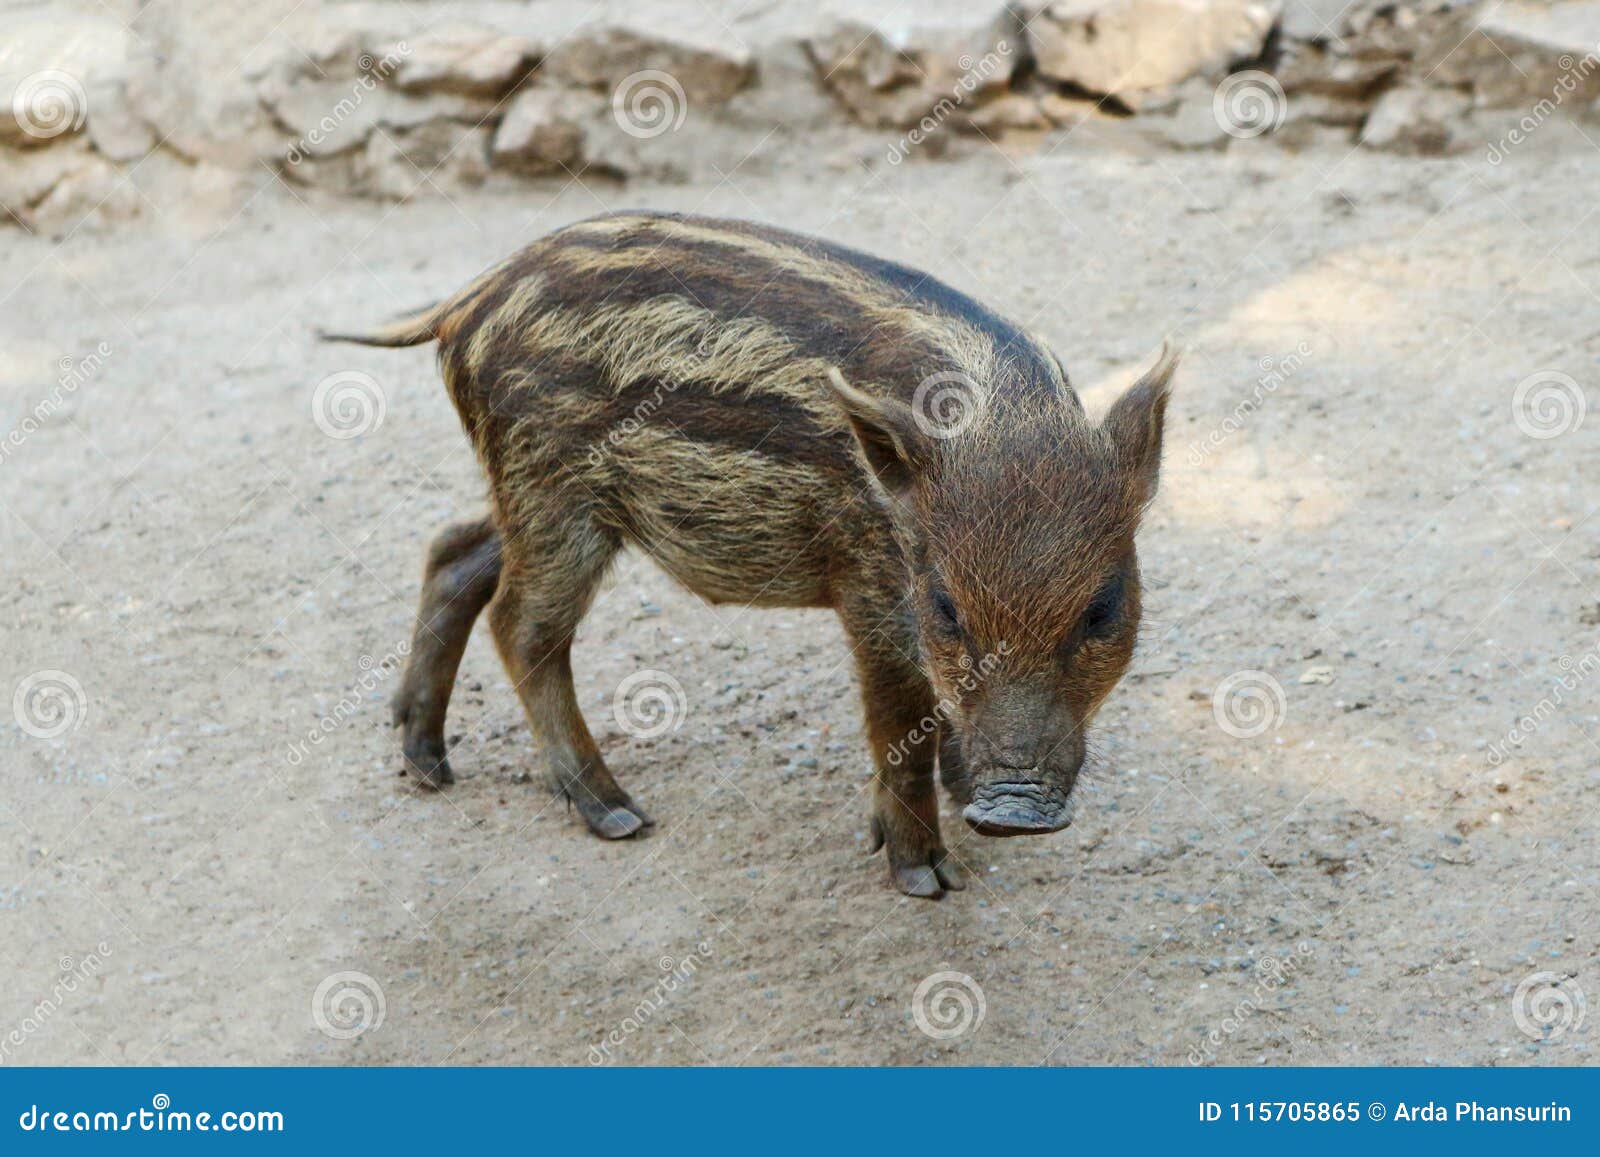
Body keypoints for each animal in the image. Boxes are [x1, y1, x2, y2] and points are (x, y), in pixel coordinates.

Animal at [323, 211, 1177, 898]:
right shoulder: (869, 586)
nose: (1011, 812)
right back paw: (617, 814)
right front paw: (926, 878)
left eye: (1102, 608)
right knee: (523, 627)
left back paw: (426, 762)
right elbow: (902, 722)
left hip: (526, 495)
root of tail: (468, 300)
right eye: (946, 607)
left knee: (454, 551)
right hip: (554, 494)